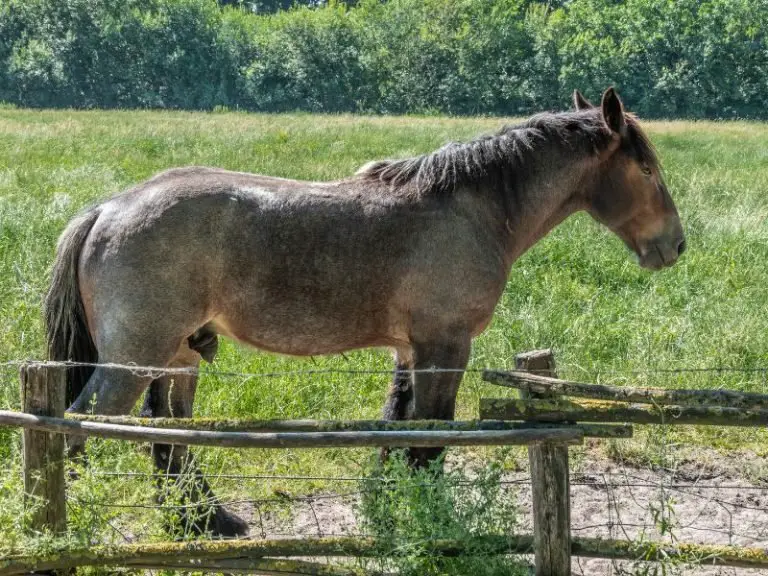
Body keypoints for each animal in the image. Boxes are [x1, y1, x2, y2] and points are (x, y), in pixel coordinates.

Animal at [45, 88, 685, 537]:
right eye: (647, 170)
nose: (675, 245)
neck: (469, 210)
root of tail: (110, 207)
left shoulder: (407, 351)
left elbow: (395, 434)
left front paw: (392, 508)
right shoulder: (444, 347)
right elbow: (429, 441)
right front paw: (431, 523)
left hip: (179, 356)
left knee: (169, 439)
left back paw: (203, 523)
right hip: (132, 362)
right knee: (75, 429)